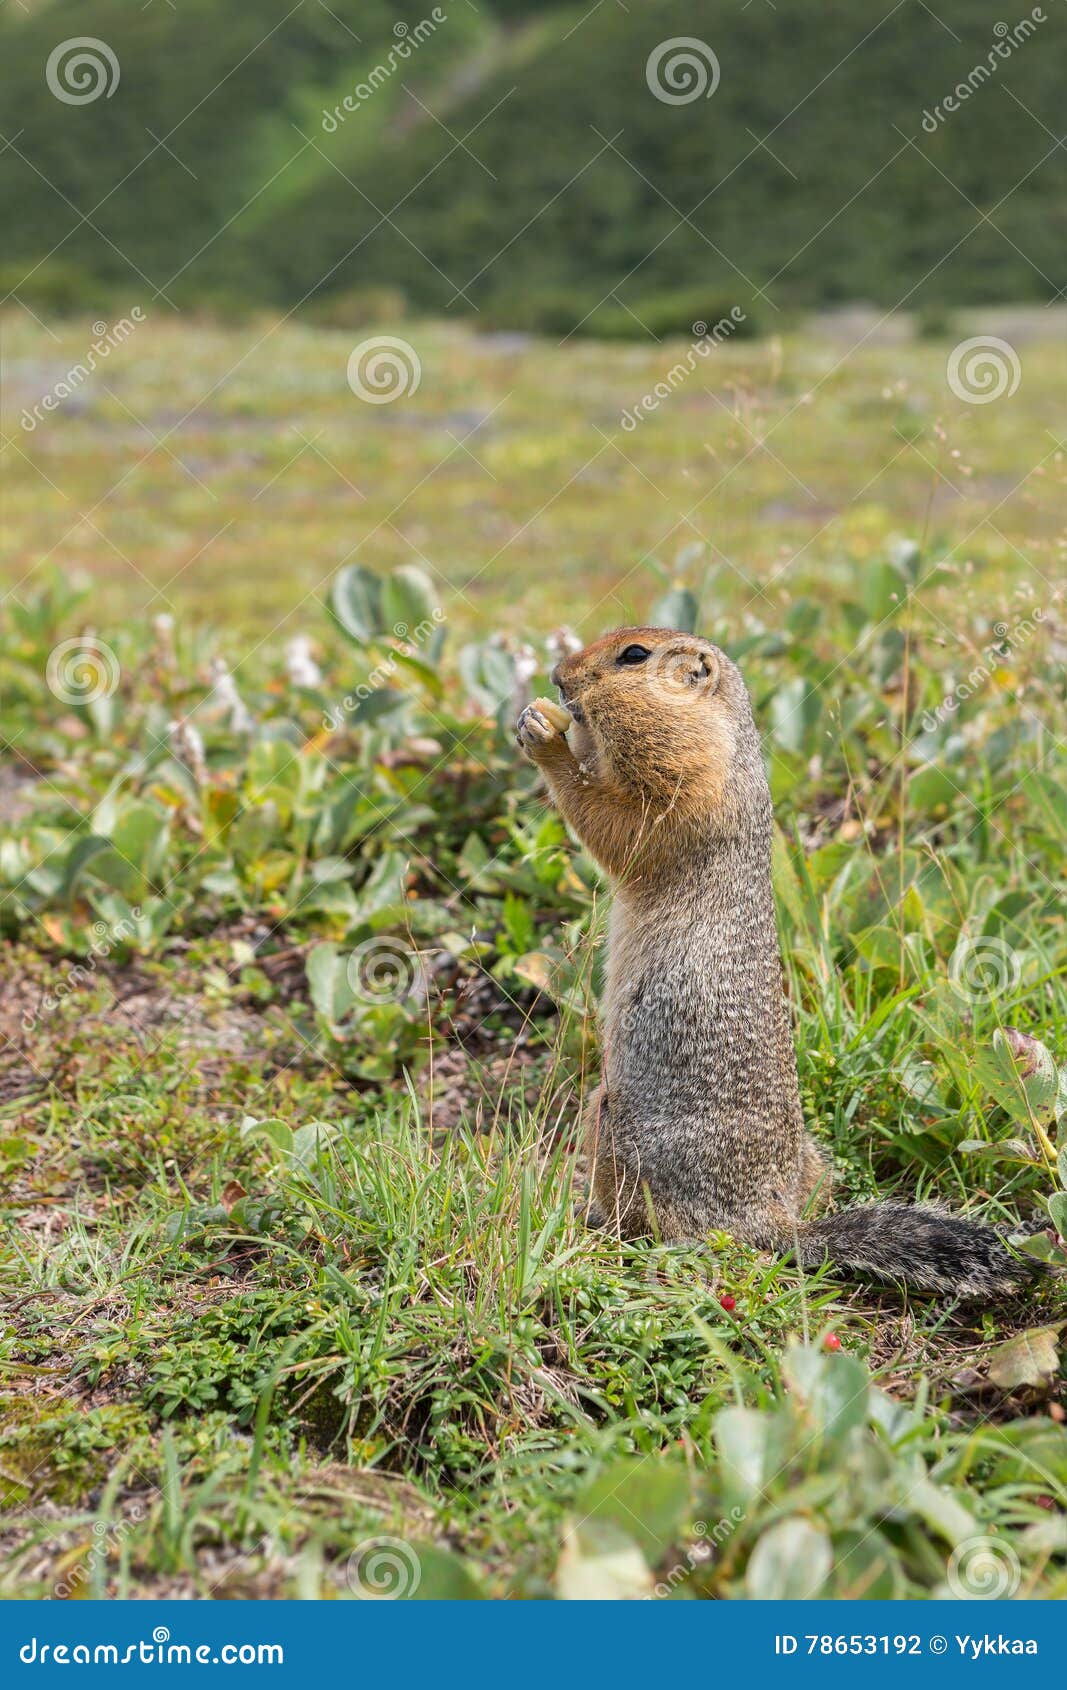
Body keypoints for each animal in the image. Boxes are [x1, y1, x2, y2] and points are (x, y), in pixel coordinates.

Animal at [516, 626, 1040, 1297]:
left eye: (634, 655)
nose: (557, 676)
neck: (722, 738)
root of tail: (771, 1221)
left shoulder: (685, 779)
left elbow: (621, 824)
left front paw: (546, 736)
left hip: (609, 1122)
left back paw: (595, 1217)